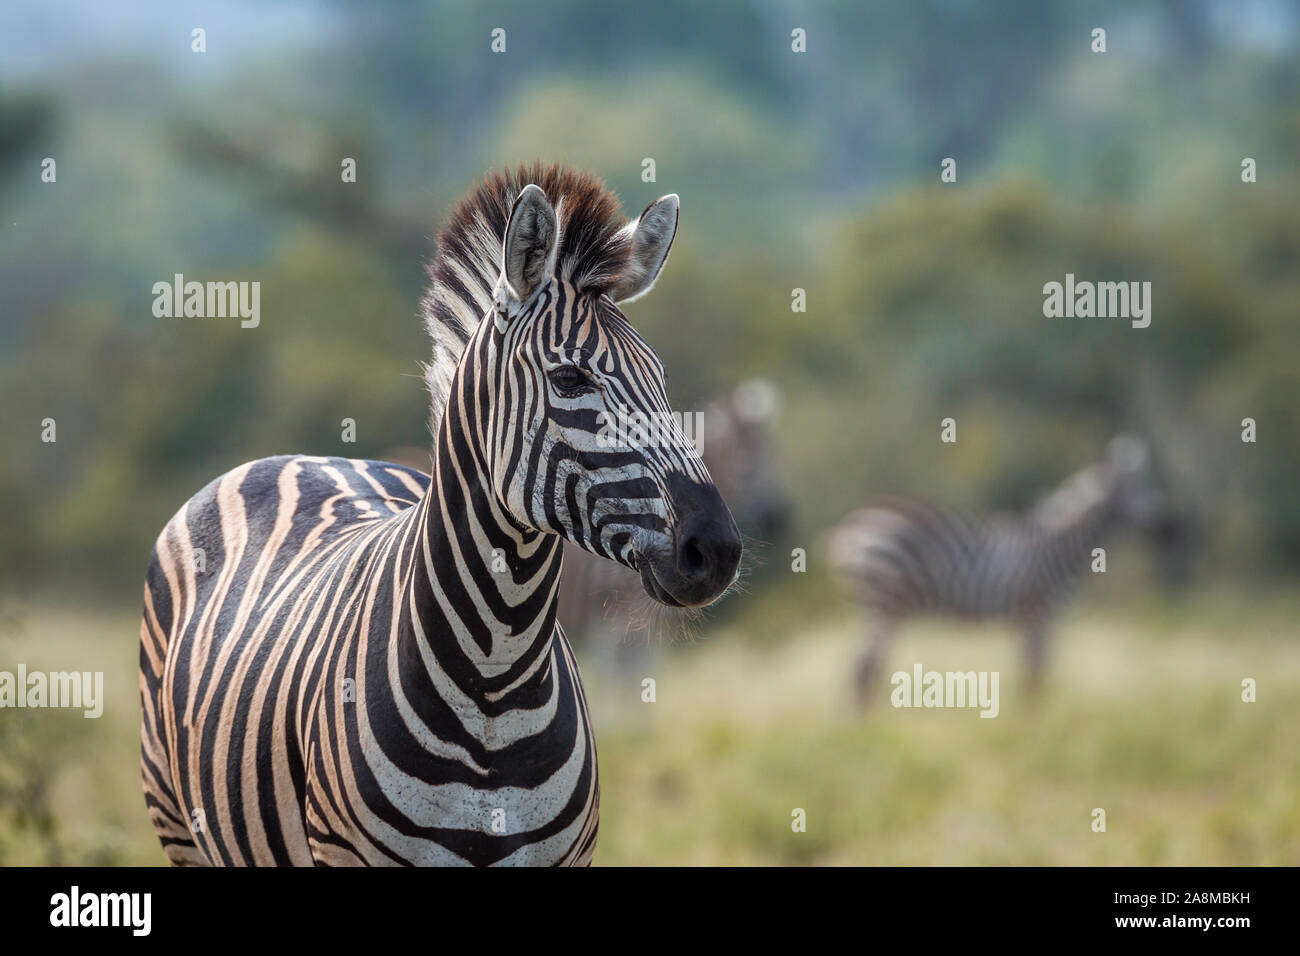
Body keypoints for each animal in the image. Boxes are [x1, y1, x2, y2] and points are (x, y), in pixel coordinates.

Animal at [138, 163, 742, 866]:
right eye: (569, 380)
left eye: (662, 379)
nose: (717, 549)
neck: (496, 681)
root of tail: (298, 456)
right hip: (178, 825)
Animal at [827, 437, 1164, 704]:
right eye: (1138, 487)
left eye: (1148, 484)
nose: (1163, 519)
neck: (1064, 548)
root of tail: (854, 523)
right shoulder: (1036, 613)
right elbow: (1034, 673)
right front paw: (1034, 720)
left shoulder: (1046, 620)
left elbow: (1036, 672)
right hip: (883, 598)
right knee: (863, 669)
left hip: (884, 605)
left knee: (868, 667)